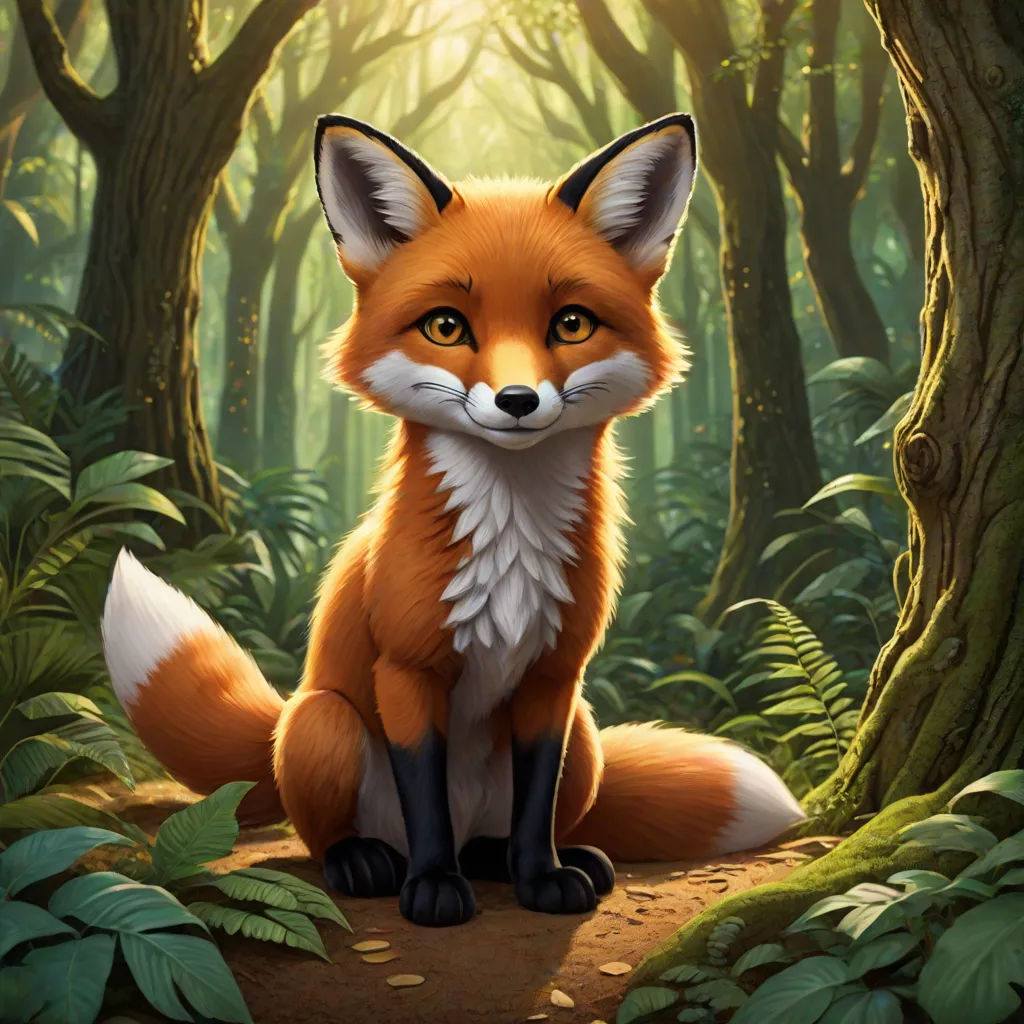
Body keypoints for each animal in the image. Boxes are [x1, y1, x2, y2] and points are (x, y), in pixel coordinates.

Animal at [101, 112, 805, 928]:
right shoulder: (408, 671)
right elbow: (425, 799)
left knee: (508, 828)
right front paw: (434, 889)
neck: (511, 547)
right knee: (331, 831)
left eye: (571, 324)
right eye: (445, 326)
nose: (517, 401)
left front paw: (541, 879)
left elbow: (533, 807)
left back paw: (531, 860)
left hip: (586, 736)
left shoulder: (554, 680)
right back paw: (366, 862)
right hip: (324, 724)